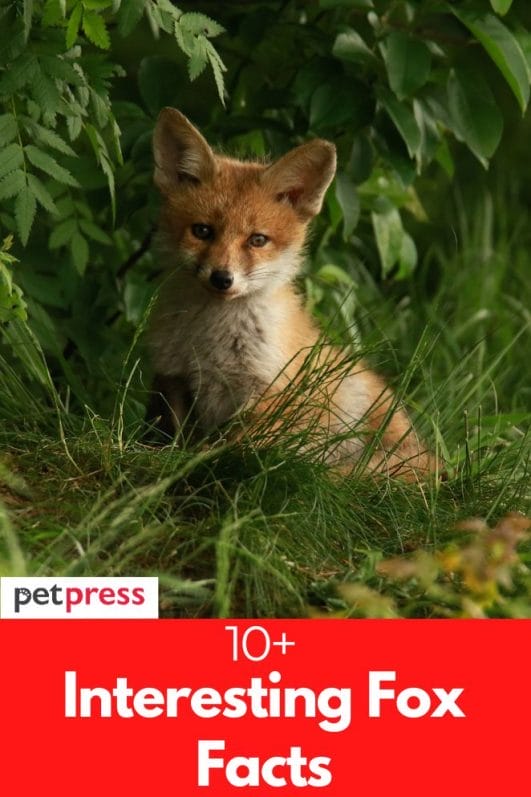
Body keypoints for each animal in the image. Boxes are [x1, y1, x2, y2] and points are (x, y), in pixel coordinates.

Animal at [147, 107, 435, 481]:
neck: (211, 341)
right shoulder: (174, 377)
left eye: (257, 240)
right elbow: (175, 436)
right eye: (202, 231)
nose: (222, 278)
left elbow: (231, 447)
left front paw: (203, 463)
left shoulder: (270, 391)